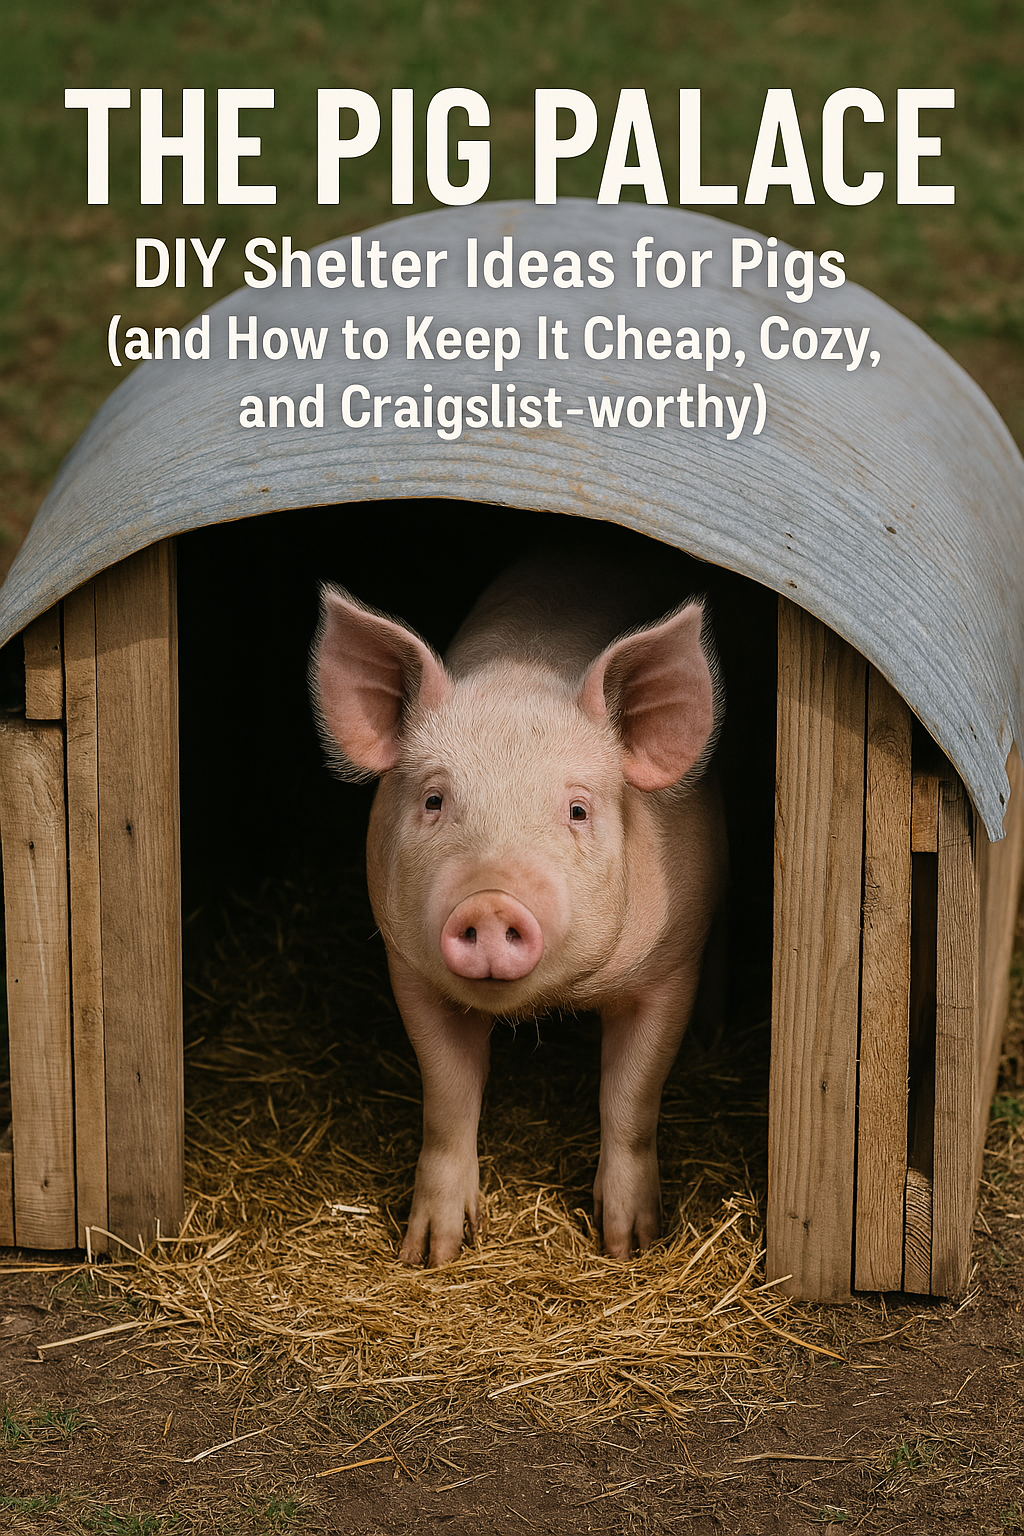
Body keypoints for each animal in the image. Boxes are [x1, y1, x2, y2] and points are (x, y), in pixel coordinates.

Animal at [312, 540, 727, 1267]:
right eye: (434, 800)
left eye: (578, 809)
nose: (490, 903)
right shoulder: (408, 968)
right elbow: (447, 1099)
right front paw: (430, 1256)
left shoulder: (671, 967)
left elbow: (631, 1099)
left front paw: (629, 1245)